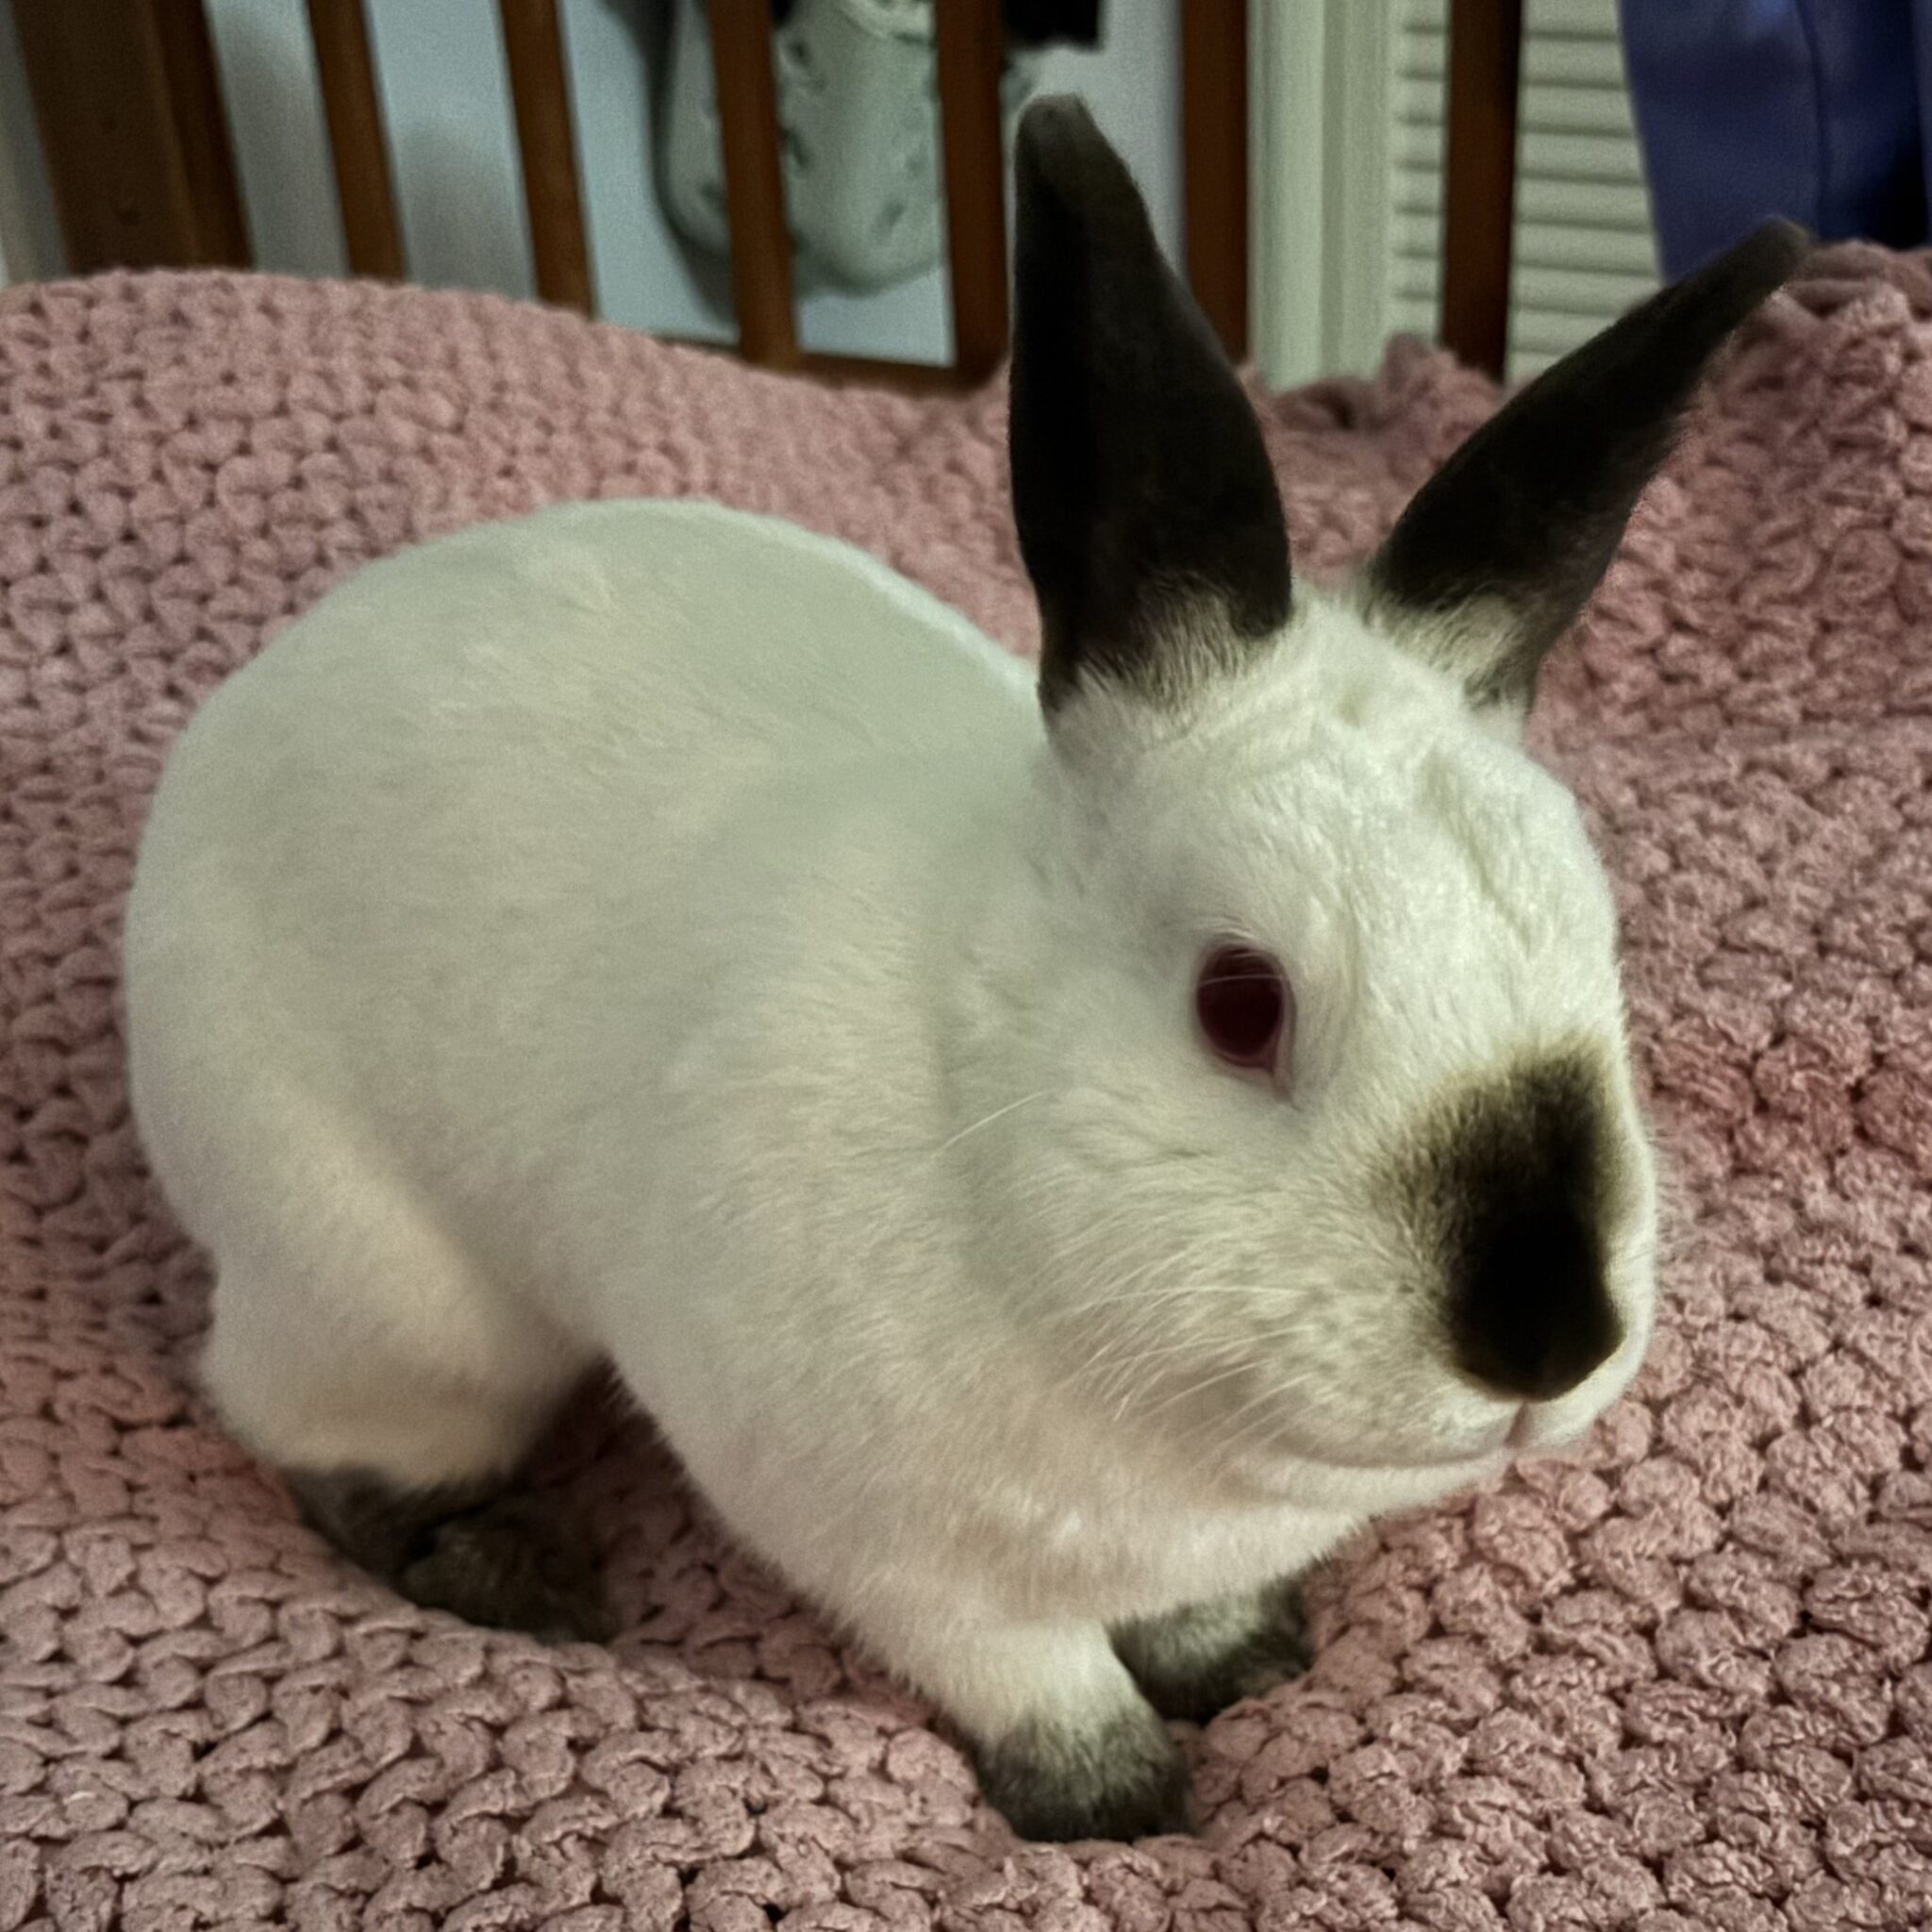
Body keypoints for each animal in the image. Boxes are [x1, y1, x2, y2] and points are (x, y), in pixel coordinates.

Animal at [122, 96, 1804, 1843]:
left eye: (1600, 943)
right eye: (1240, 1004)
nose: (1547, 1339)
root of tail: (257, 691)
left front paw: (1245, 1664)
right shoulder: (901, 1563)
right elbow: (1033, 1678)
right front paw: (1123, 1804)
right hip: (393, 1293)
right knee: (301, 1426)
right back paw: (515, 1568)